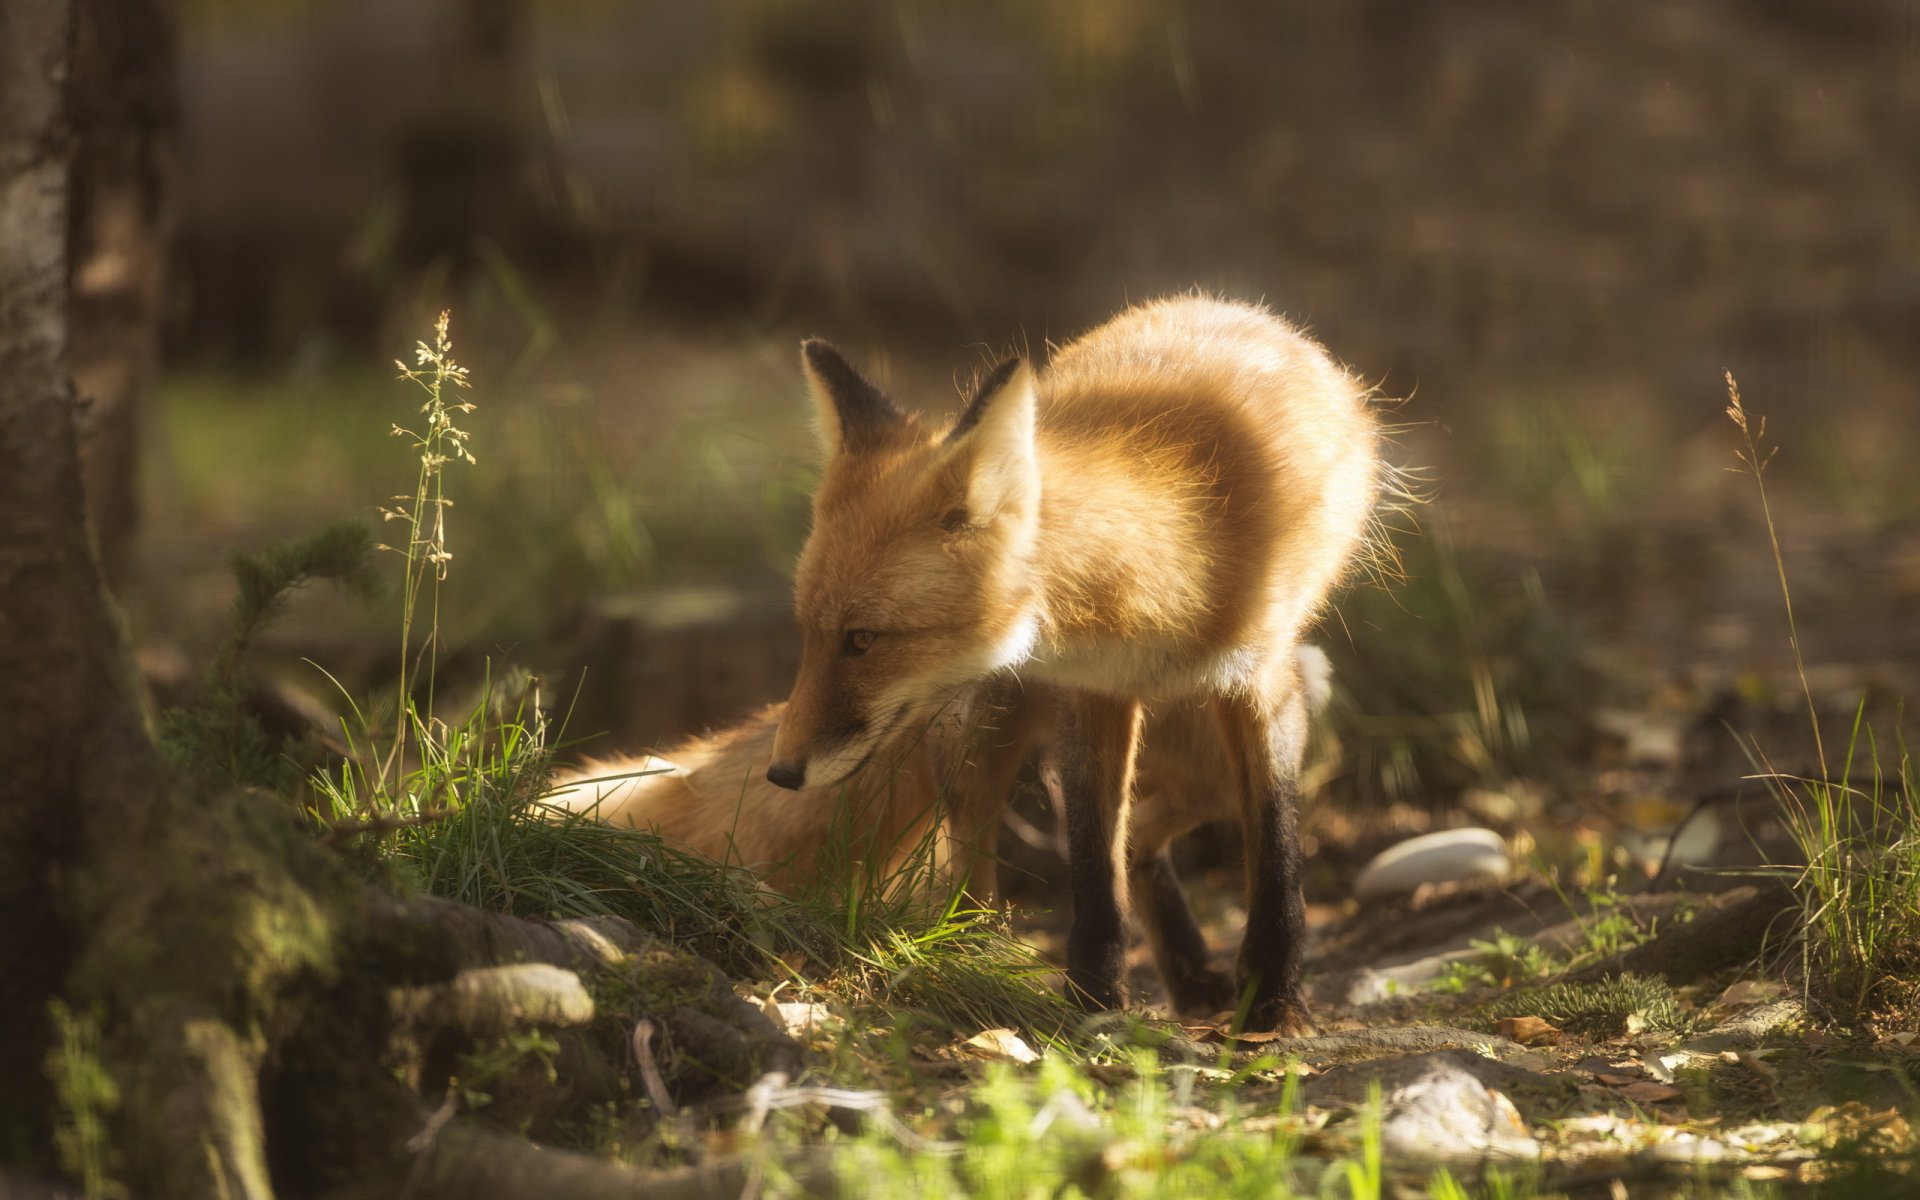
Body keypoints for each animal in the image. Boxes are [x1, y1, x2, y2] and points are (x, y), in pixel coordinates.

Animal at [766, 295, 1381, 1032]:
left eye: (861, 639)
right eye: (808, 634)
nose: (781, 772)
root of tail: (1230, 304)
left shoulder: (1262, 682)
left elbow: (1276, 849)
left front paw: (1275, 1000)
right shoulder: (1092, 693)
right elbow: (1091, 864)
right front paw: (1093, 998)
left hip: (1236, 734)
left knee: (1145, 835)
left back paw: (1189, 973)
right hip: (999, 718)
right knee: (982, 830)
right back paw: (973, 954)